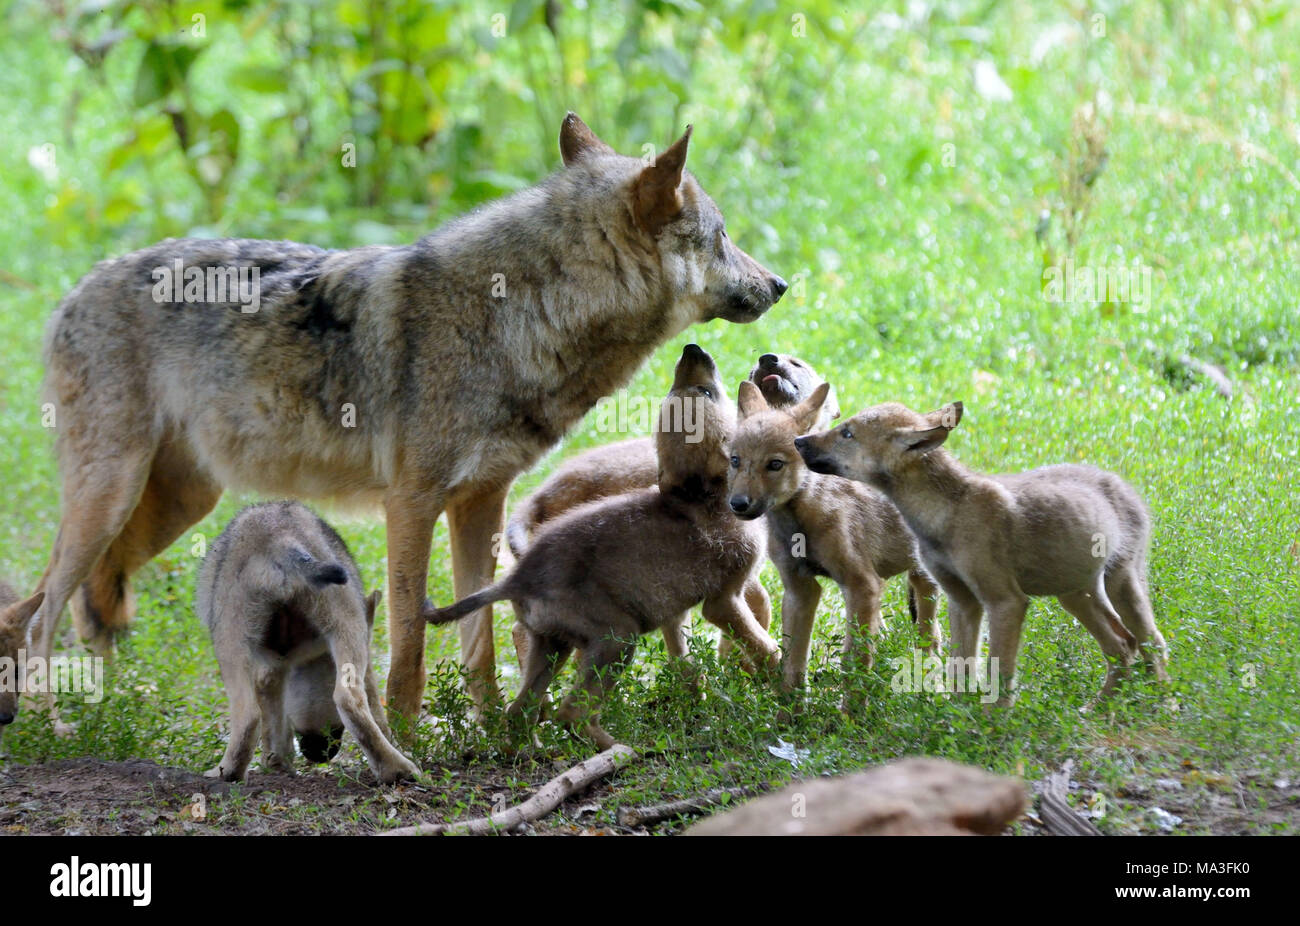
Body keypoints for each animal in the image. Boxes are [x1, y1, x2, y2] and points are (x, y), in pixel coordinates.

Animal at [197, 502, 417, 783]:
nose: (322, 755)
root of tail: (280, 539)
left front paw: (275, 763)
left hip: (232, 642)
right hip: (337, 625)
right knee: (344, 700)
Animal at [424, 345, 778, 749]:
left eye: (681, 391)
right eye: (704, 393)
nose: (691, 349)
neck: (701, 495)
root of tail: (516, 579)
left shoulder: (673, 613)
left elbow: (686, 666)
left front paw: (698, 709)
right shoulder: (724, 600)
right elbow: (764, 646)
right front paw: (789, 689)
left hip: (553, 645)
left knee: (520, 712)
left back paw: (531, 753)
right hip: (617, 640)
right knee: (571, 714)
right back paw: (624, 751)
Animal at [727, 381, 940, 707]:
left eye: (775, 464)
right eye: (735, 460)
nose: (738, 504)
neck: (800, 526)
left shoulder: (861, 585)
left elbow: (854, 665)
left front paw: (850, 715)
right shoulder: (800, 589)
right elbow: (792, 665)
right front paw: (790, 715)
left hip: (925, 579)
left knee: (928, 635)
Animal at [795, 402, 1169, 706]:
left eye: (847, 433)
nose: (798, 441)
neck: (945, 515)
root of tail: (1122, 483)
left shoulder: (1005, 601)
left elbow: (999, 678)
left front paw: (993, 730)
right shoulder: (962, 600)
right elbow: (960, 671)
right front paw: (958, 722)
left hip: (1122, 585)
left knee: (1154, 643)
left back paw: (1161, 706)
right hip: (1076, 595)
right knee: (1123, 647)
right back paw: (1101, 709)